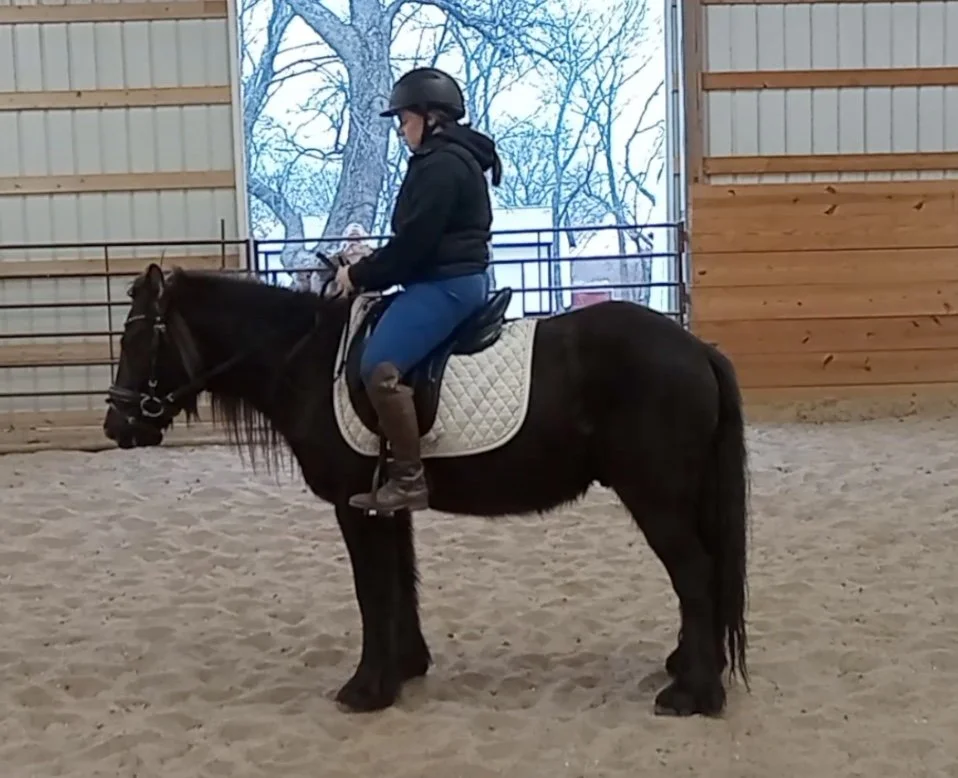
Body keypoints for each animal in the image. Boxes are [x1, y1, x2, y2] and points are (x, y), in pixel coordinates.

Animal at [102, 260, 750, 718]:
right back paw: (689, 668)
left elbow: (373, 591)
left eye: (135, 340)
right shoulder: (386, 503)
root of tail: (697, 349)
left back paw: (694, 694)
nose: (117, 425)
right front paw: (406, 667)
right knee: (706, 576)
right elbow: (400, 583)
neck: (307, 360)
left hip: (656, 496)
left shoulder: (354, 508)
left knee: (695, 574)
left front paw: (367, 689)